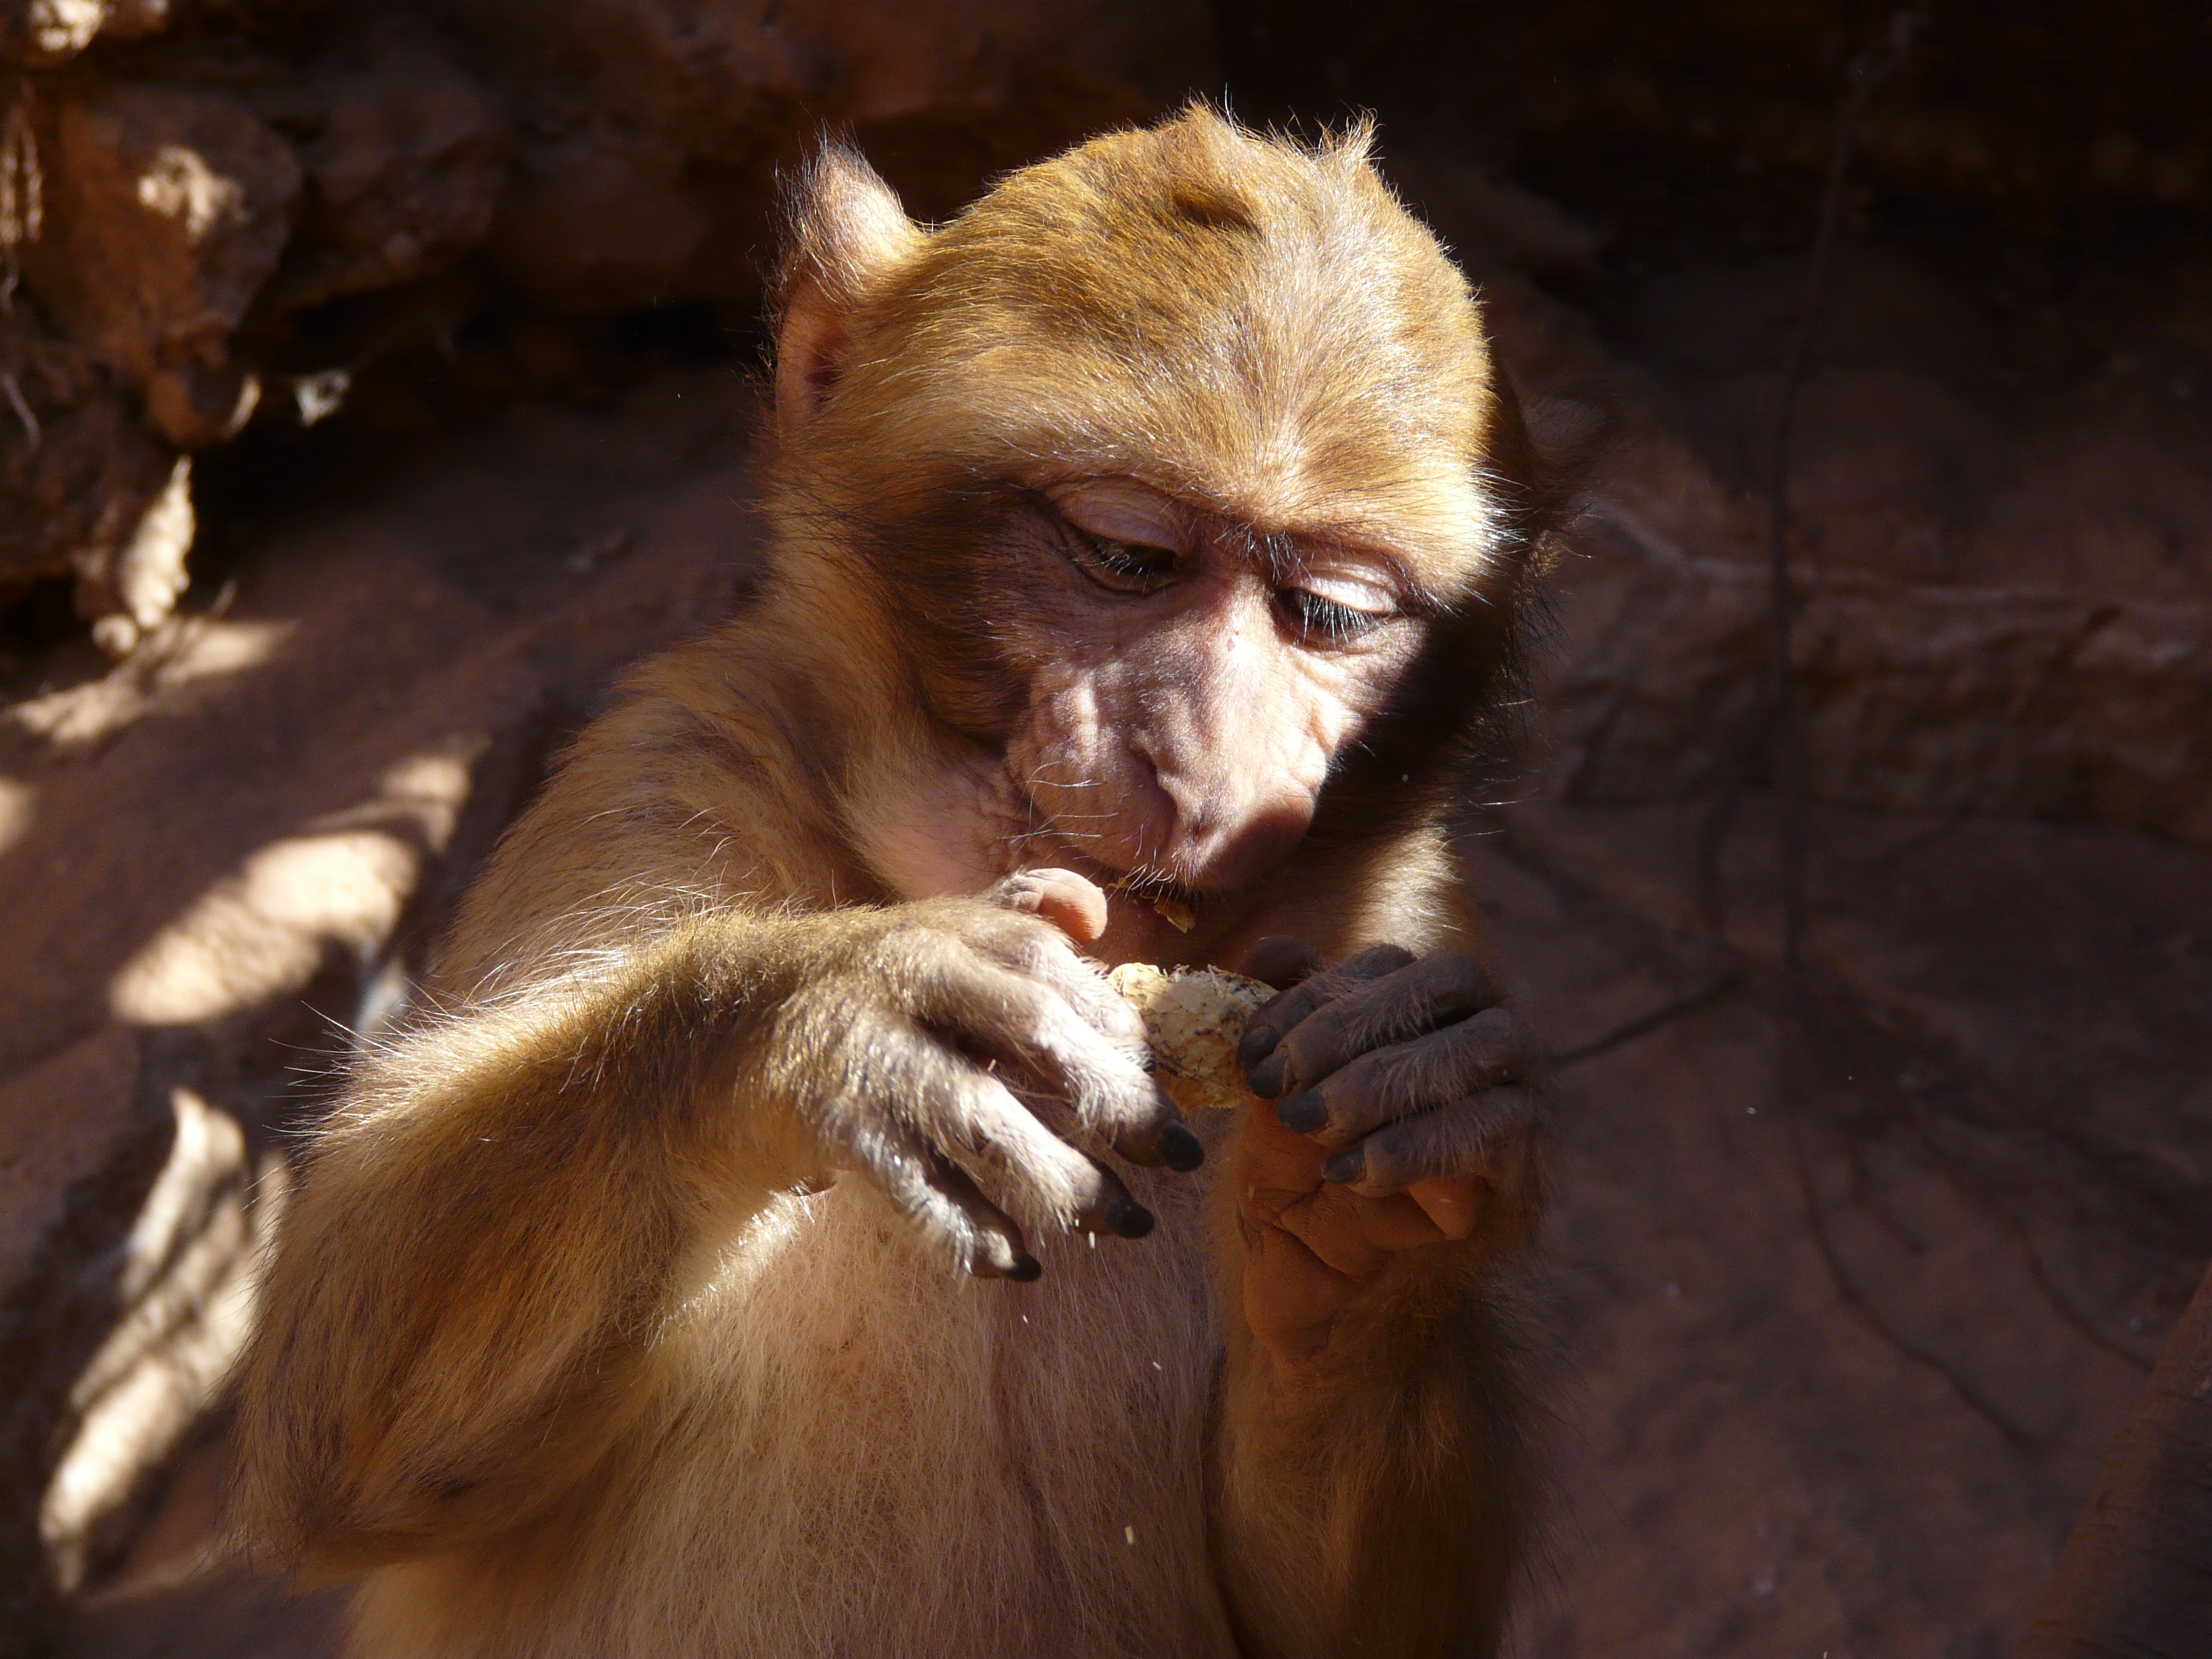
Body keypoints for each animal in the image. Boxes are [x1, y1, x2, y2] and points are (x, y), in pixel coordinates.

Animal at [232, 106, 1561, 1658]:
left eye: (1327, 616)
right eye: (1127, 556)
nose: (1202, 762)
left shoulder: (1402, 914)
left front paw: (1379, 1212)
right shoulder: (675, 754)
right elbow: (329, 1422)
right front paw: (832, 1020)